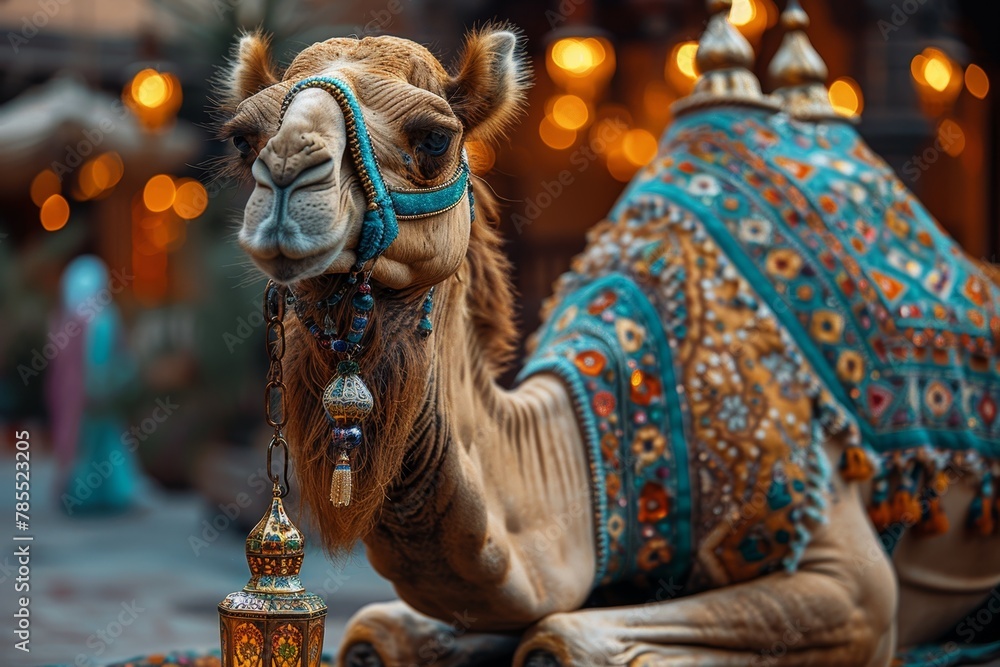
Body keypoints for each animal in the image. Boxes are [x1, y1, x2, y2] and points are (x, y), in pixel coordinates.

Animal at [216, 2, 1000, 665]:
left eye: (434, 138)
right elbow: (375, 631)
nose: (287, 178)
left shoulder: (853, 584)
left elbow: (563, 638)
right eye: (244, 137)